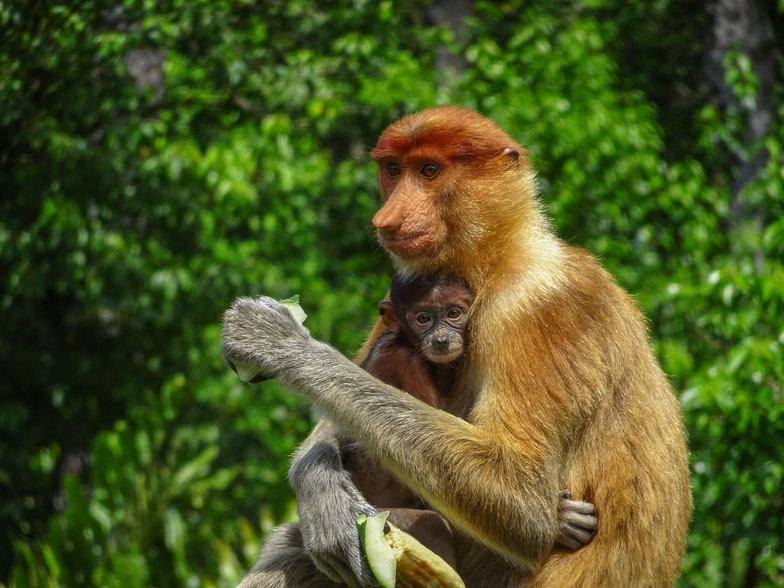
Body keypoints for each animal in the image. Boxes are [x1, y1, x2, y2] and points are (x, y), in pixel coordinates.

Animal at [346, 274, 596, 564]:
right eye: (423, 318)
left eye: (454, 313)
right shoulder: (405, 361)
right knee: (430, 524)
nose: (441, 338)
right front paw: (559, 519)